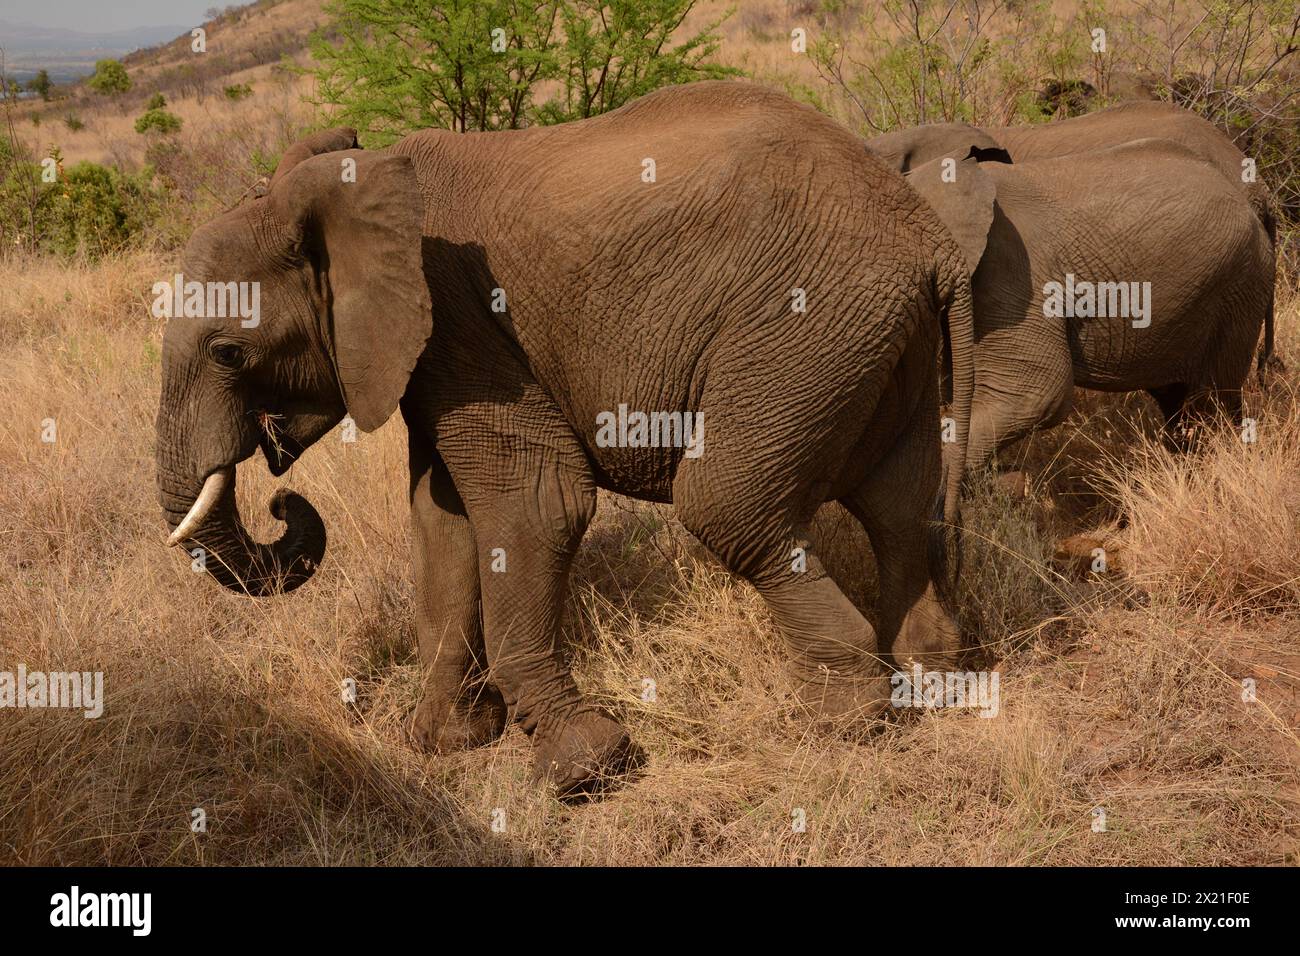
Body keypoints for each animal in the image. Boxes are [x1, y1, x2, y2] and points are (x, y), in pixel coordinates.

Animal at [155, 81, 976, 796]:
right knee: (899, 505)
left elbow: (536, 506)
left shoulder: (464, 317)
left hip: (808, 323)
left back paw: (843, 718)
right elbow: (443, 524)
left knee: (726, 504)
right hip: (876, 338)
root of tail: (931, 239)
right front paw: (444, 743)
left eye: (228, 353)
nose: (281, 501)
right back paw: (933, 678)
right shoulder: (443, 354)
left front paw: (584, 769)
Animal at [883, 137, 1274, 473]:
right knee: (1178, 399)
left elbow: (1034, 394)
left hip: (1238, 284)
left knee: (1212, 401)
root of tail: (1256, 204)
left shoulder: (1014, 271)